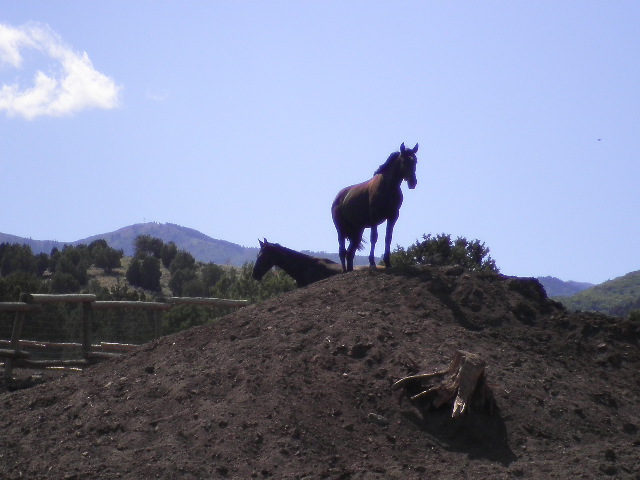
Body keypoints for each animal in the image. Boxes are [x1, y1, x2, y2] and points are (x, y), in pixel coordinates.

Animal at [331, 142, 419, 272]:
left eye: (415, 161)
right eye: (405, 161)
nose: (413, 182)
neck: (388, 187)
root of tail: (338, 197)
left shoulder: (393, 216)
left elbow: (388, 237)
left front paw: (388, 262)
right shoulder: (374, 217)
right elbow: (374, 237)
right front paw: (372, 263)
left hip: (357, 230)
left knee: (350, 253)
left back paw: (350, 269)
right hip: (341, 229)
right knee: (342, 250)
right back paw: (344, 270)